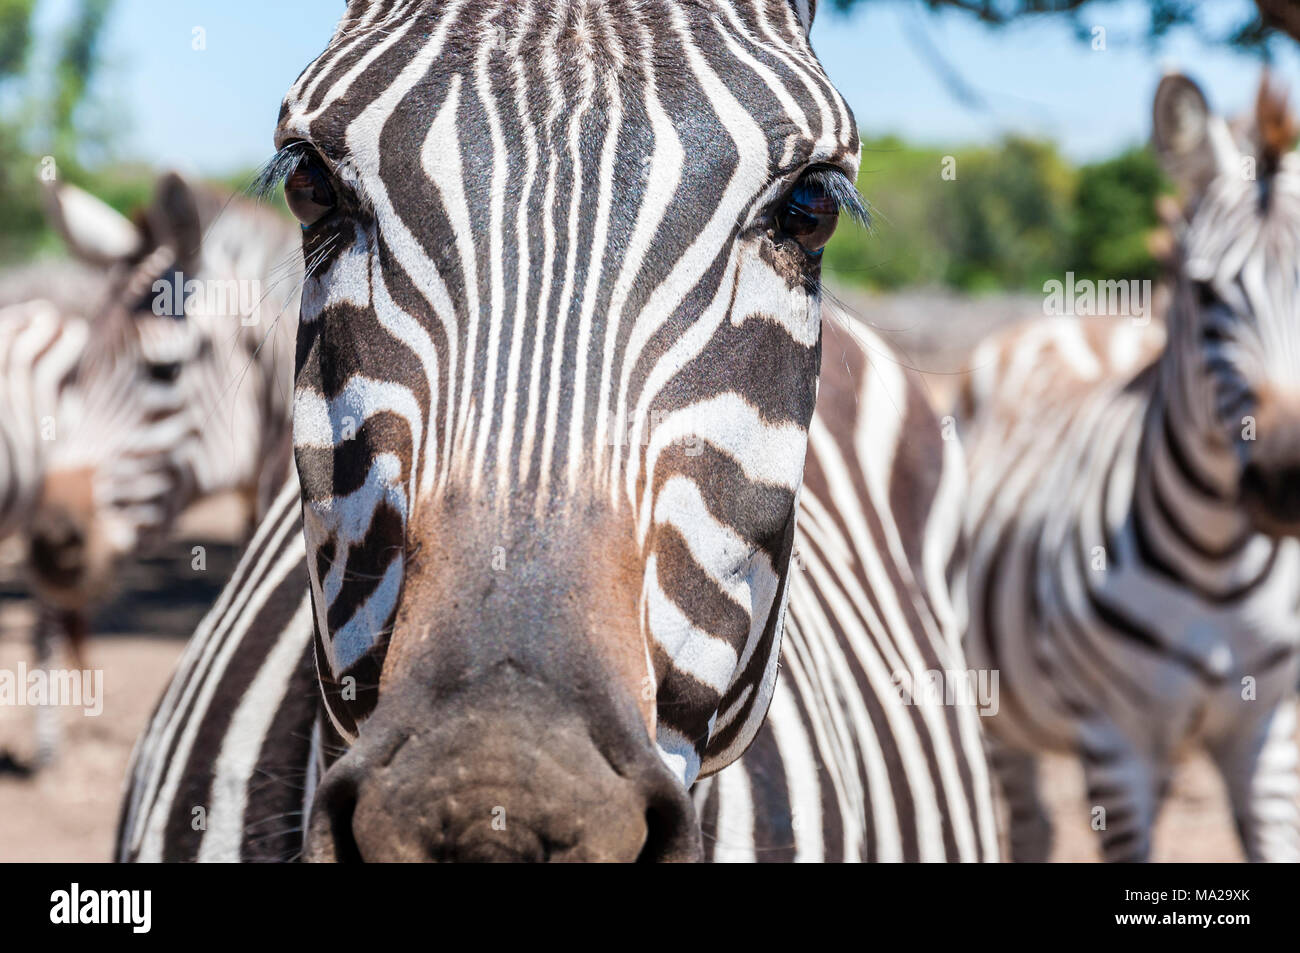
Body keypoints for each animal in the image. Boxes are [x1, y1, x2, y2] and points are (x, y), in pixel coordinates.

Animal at [958, 72, 1300, 862]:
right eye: (1205, 292)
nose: (1289, 481)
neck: (1216, 563)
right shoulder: (1115, 743)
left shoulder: (1265, 729)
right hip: (993, 699)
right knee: (1028, 819)